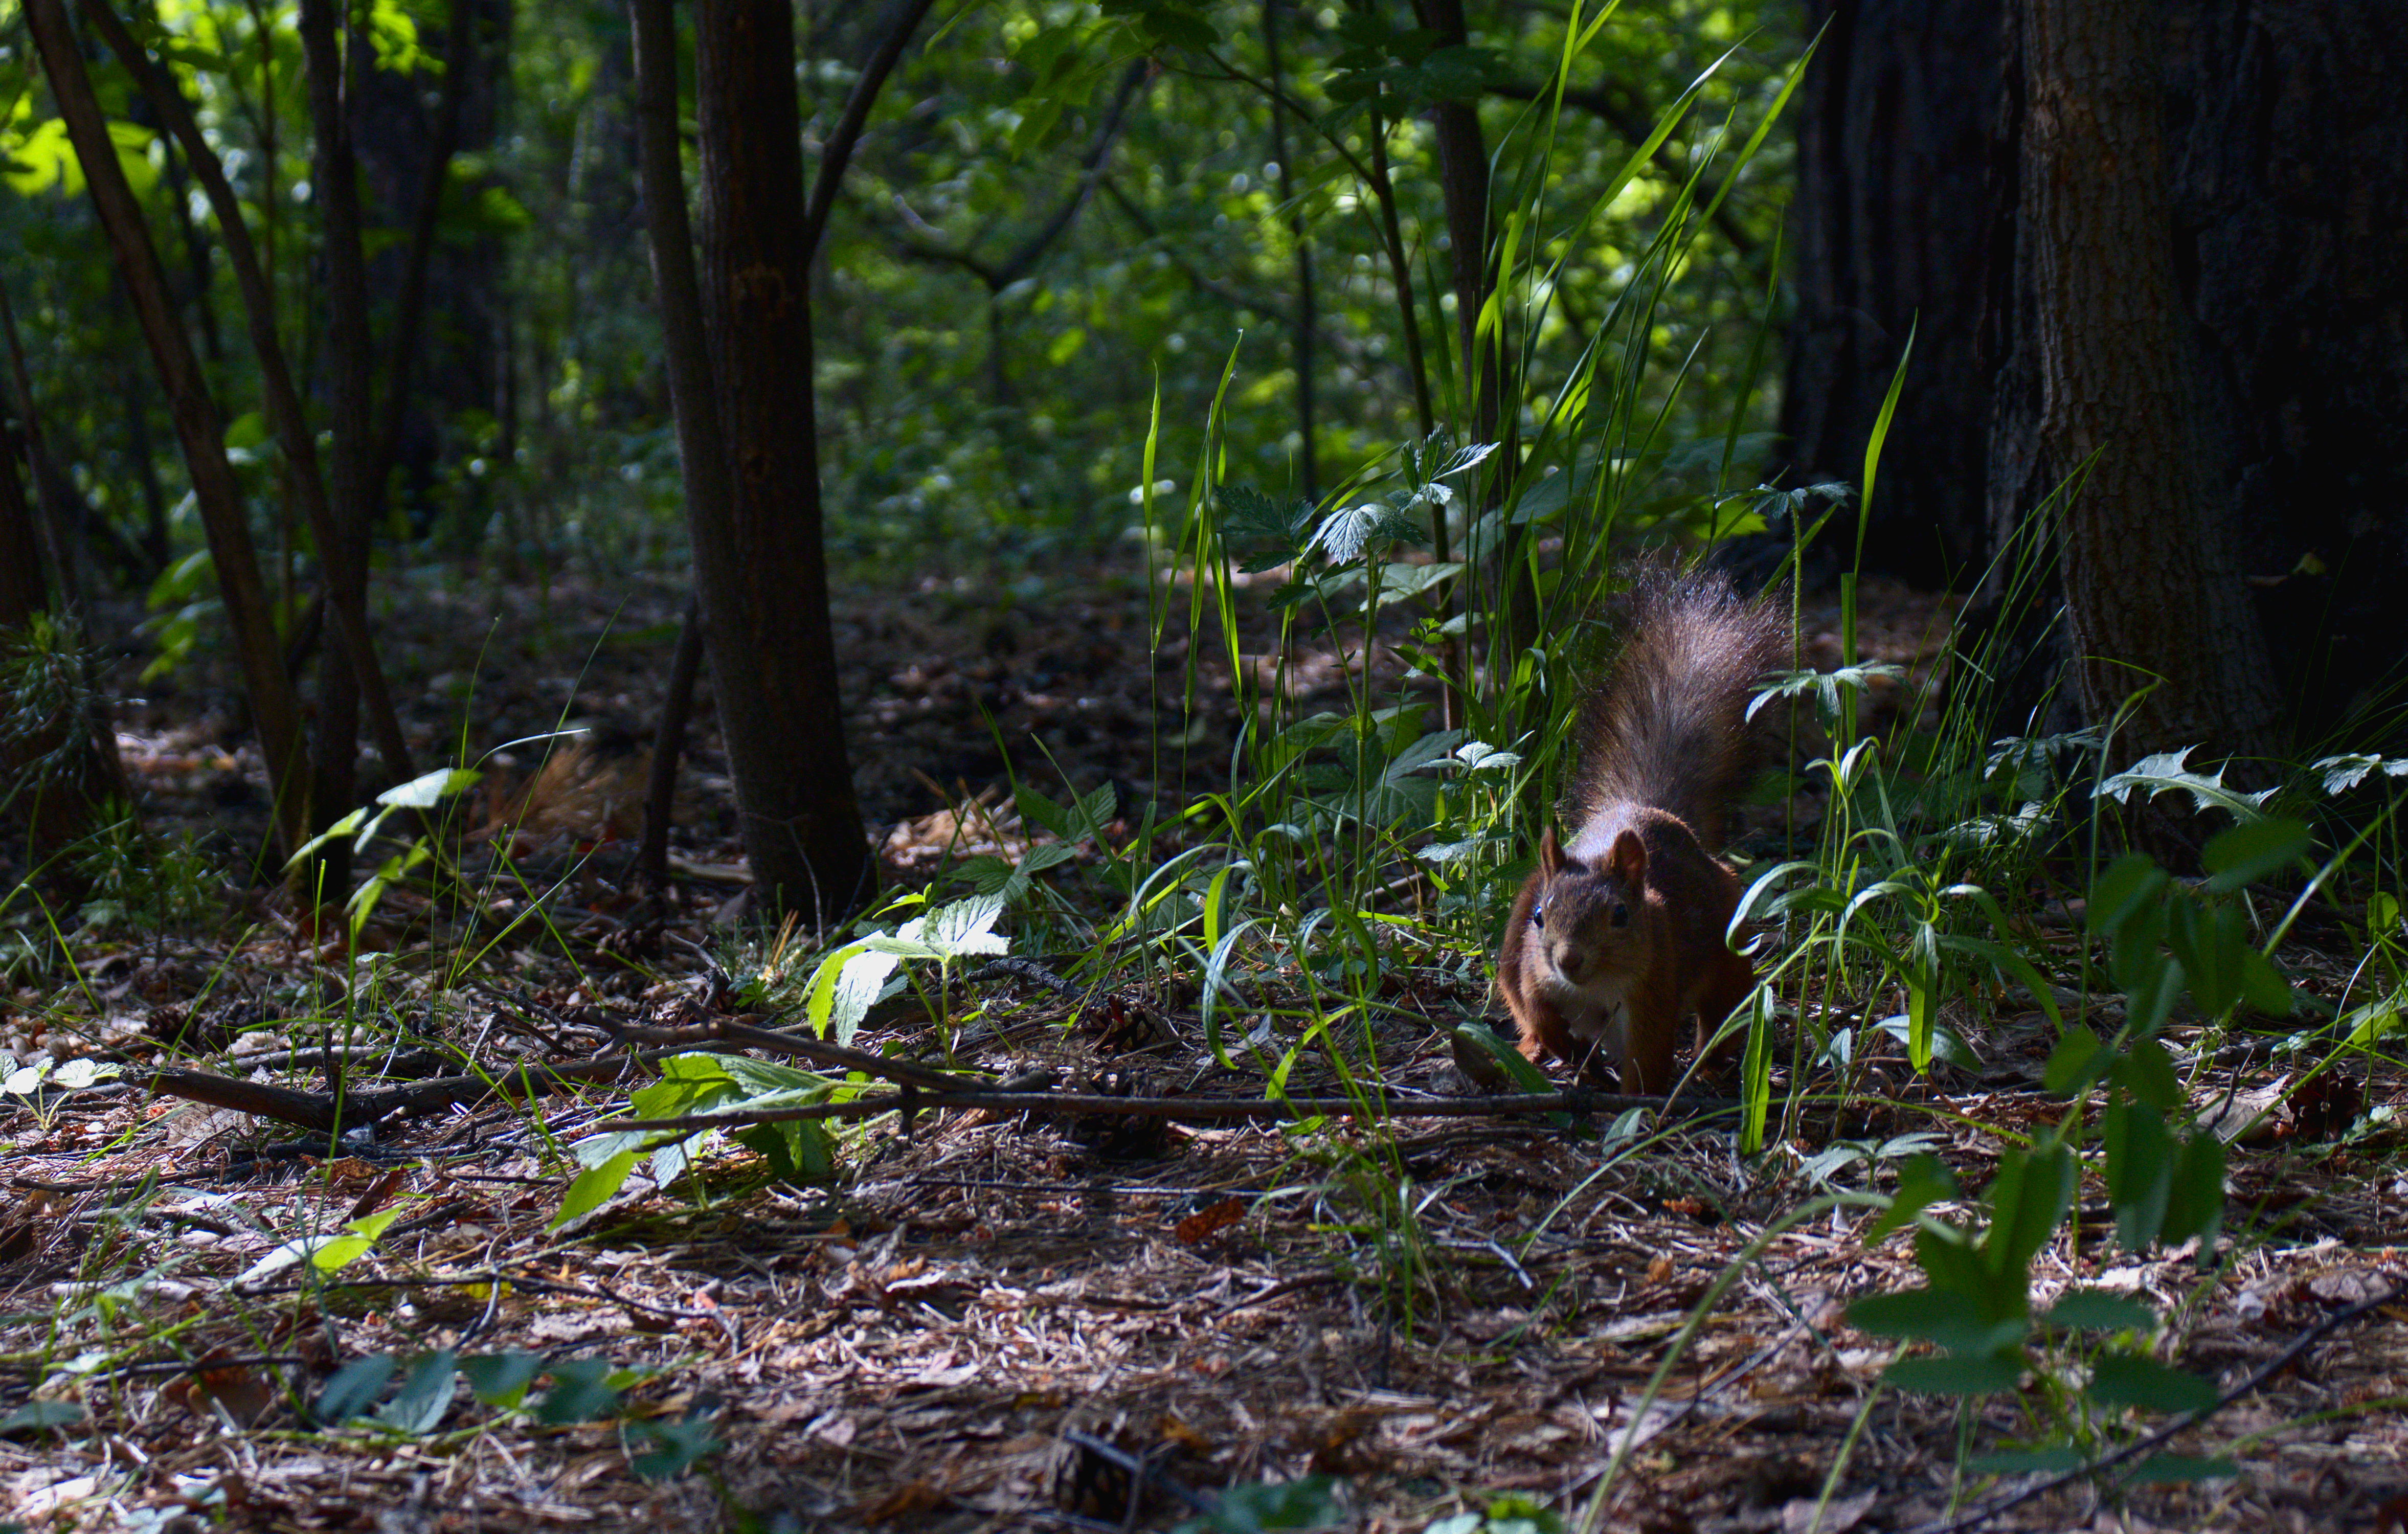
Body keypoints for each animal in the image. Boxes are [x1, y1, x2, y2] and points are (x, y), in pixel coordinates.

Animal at [1483, 568, 1791, 1093]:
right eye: (1540, 916)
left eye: (1621, 916)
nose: (1568, 961)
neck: (1592, 987)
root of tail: (1647, 810)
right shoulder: (1533, 970)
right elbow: (1539, 1009)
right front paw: (1560, 1045)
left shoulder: (1651, 988)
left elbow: (1646, 1056)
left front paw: (1635, 1102)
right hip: (1509, 952)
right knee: (1523, 1009)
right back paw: (1538, 1049)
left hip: (1729, 944)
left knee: (1723, 1015)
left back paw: (1708, 1065)